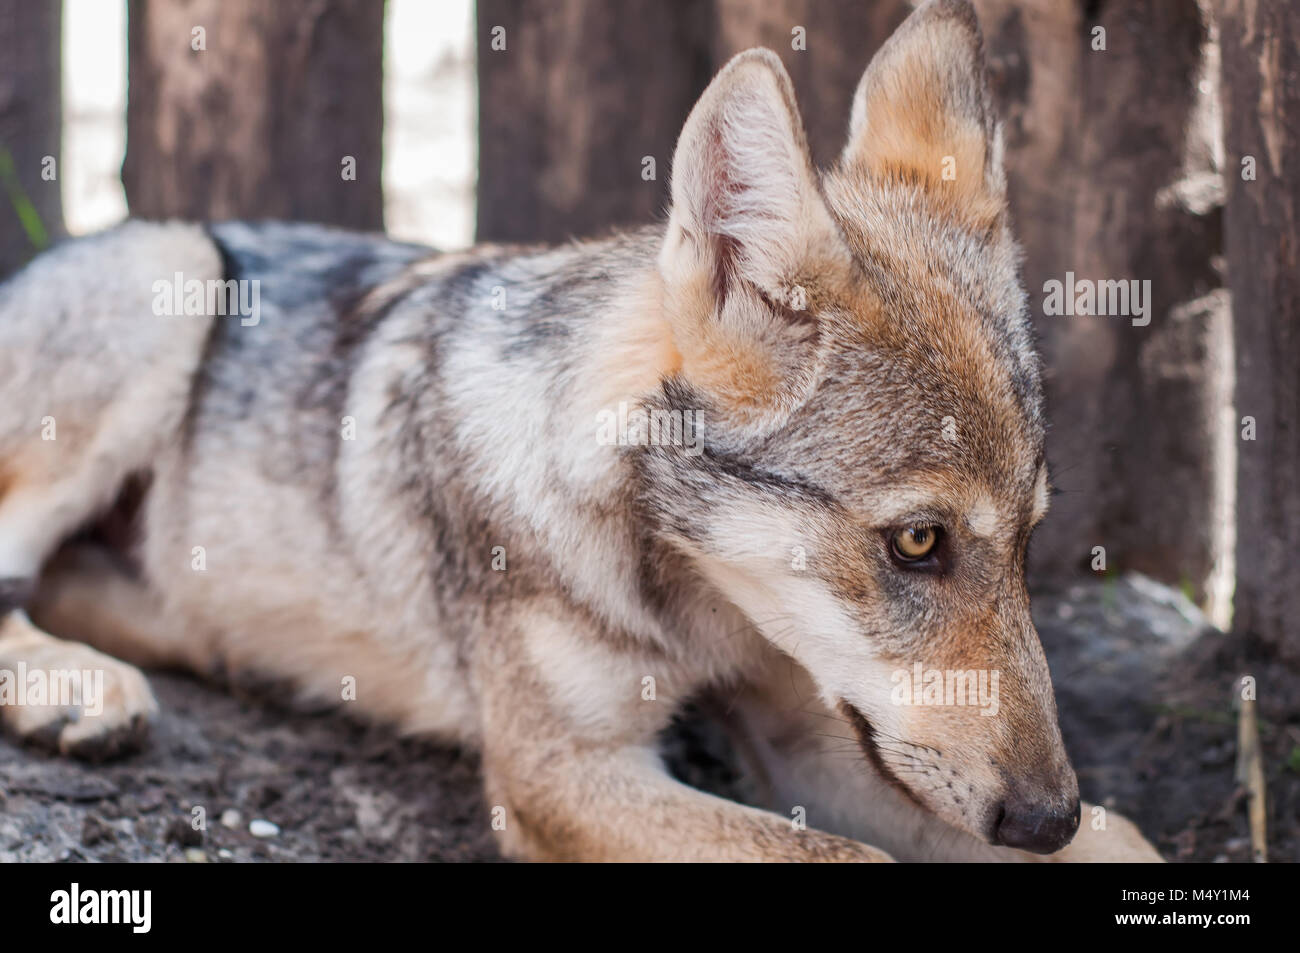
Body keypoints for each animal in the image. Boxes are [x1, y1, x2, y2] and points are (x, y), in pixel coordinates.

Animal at [0, 0, 1160, 861]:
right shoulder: (562, 770)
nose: (1042, 816)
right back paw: (78, 690)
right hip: (175, 273)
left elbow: (1124, 836)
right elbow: (840, 853)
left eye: (1029, 540)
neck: (695, 602)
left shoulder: (813, 731)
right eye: (918, 542)